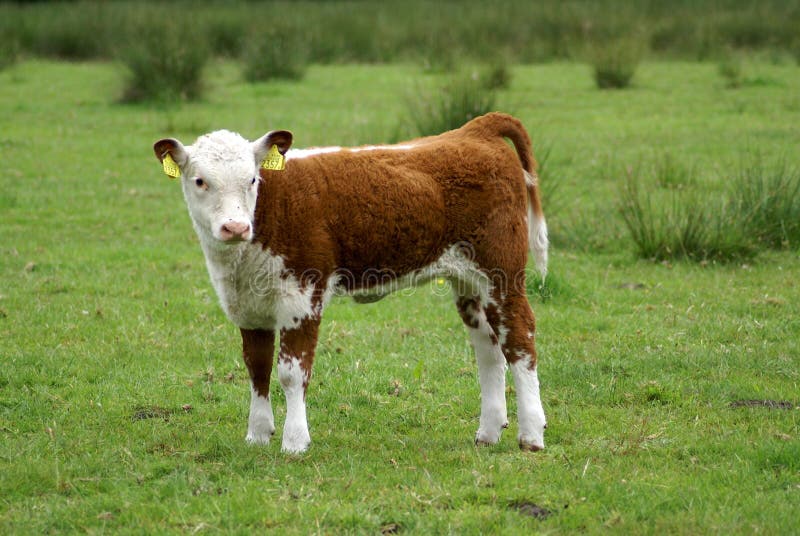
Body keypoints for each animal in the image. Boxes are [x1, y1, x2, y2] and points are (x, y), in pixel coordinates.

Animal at [153, 112, 548, 454]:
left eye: (252, 180)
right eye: (200, 181)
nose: (235, 227)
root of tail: (473, 130)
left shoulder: (302, 295)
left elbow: (291, 374)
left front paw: (294, 442)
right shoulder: (247, 305)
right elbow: (257, 367)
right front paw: (258, 435)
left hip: (502, 272)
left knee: (520, 338)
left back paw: (531, 434)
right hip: (468, 282)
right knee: (489, 348)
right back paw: (488, 431)